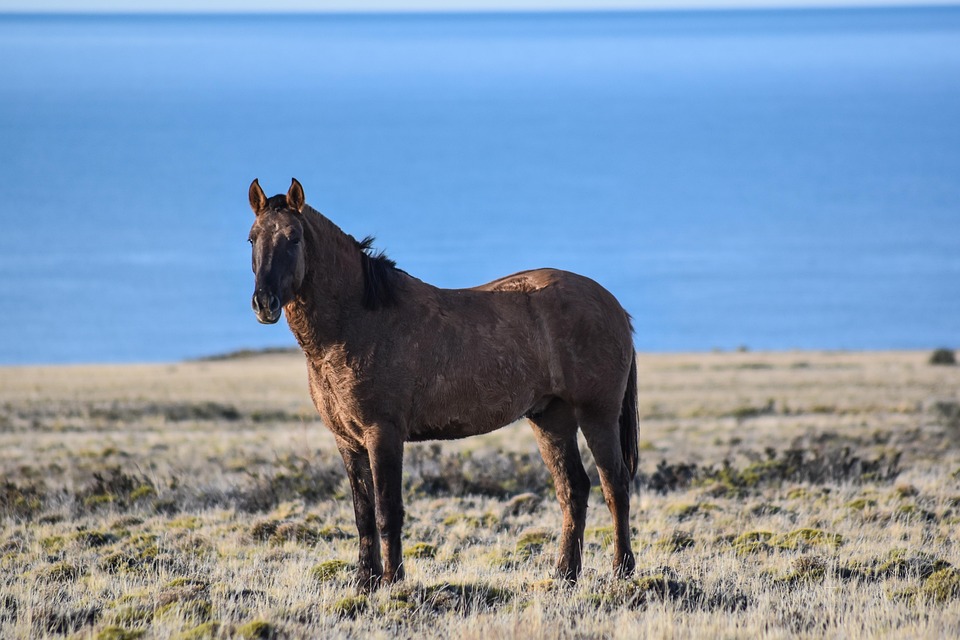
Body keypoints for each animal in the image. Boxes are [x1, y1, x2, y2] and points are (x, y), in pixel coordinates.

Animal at [247, 178, 639, 589]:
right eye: (252, 238)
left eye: (293, 238)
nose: (264, 303)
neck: (356, 321)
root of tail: (612, 304)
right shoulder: (347, 441)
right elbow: (363, 514)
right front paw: (364, 581)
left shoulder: (383, 434)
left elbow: (388, 511)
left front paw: (393, 581)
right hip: (551, 420)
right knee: (573, 490)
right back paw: (564, 574)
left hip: (597, 416)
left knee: (615, 487)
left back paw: (622, 570)